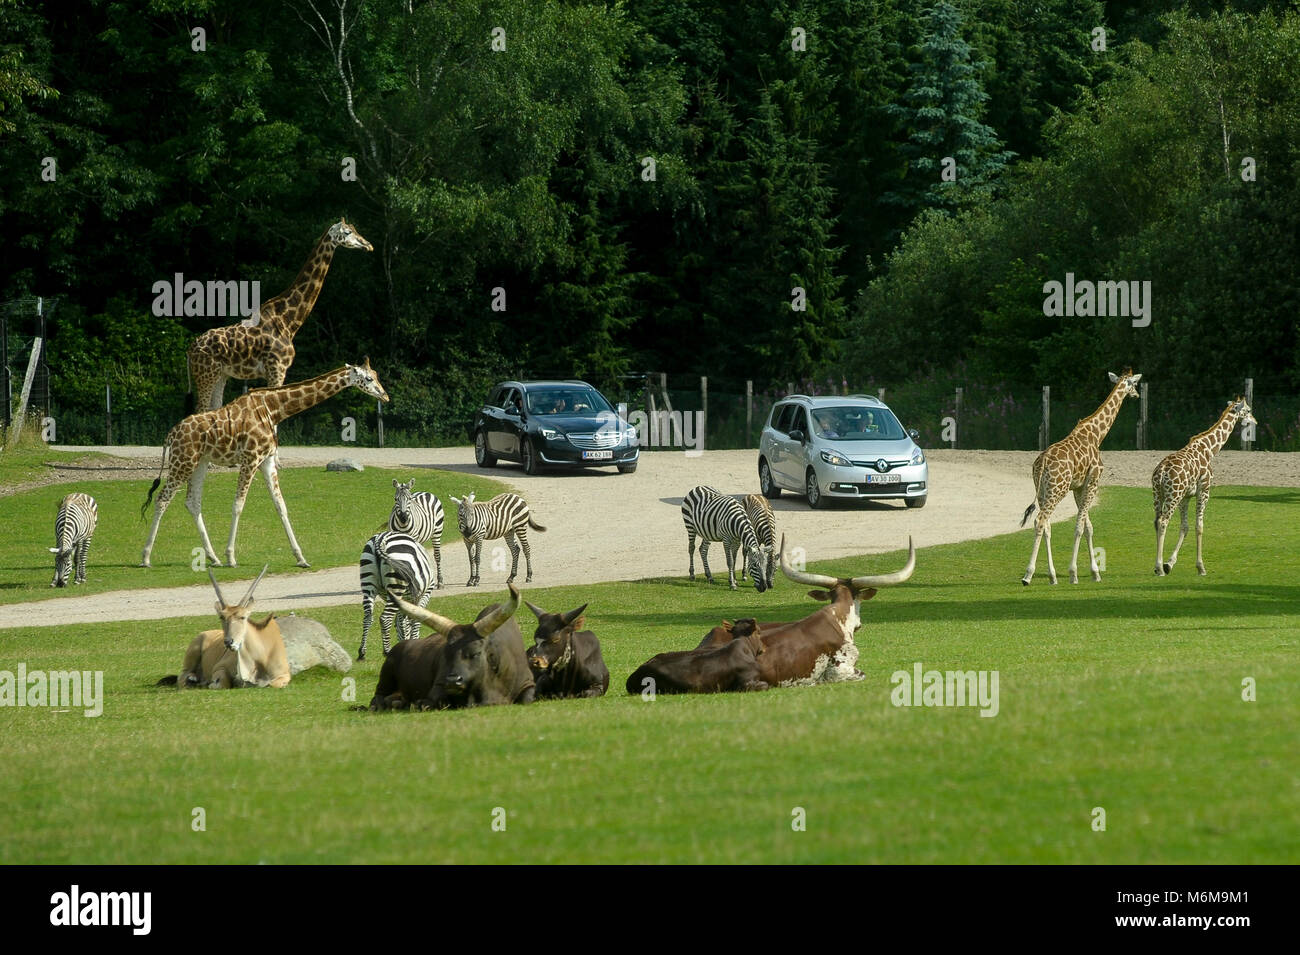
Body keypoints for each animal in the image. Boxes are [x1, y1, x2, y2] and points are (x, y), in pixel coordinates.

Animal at [140, 360, 389, 569]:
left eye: (377, 375)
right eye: (368, 379)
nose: (385, 396)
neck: (274, 409)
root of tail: (171, 435)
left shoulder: (267, 461)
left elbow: (281, 506)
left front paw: (301, 558)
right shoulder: (250, 459)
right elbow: (238, 505)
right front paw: (231, 557)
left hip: (200, 462)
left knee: (192, 502)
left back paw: (213, 558)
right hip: (183, 461)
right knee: (162, 499)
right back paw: (146, 557)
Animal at [187, 218, 373, 410]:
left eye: (355, 230)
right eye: (347, 232)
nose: (368, 245)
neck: (288, 321)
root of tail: (190, 349)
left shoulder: (275, 370)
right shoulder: (277, 369)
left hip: (221, 375)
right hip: (206, 375)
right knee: (200, 409)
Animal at [1019, 369, 1142, 585]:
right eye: (1134, 383)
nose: (1137, 395)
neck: (1097, 434)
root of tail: (1041, 463)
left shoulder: (1078, 487)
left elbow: (1088, 526)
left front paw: (1095, 572)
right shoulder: (1093, 481)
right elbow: (1079, 526)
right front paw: (1074, 573)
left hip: (1042, 490)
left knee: (1046, 524)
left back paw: (1052, 576)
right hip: (1057, 490)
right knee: (1040, 521)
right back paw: (1028, 575)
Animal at [1152, 397, 1255, 577]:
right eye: (1248, 410)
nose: (1254, 421)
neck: (1210, 449)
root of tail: (1161, 471)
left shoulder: (1186, 496)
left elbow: (1185, 526)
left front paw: (1169, 563)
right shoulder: (1204, 490)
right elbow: (1199, 526)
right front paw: (1201, 567)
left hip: (1159, 495)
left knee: (1157, 521)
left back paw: (1159, 567)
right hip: (1173, 495)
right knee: (1164, 521)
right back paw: (1158, 567)